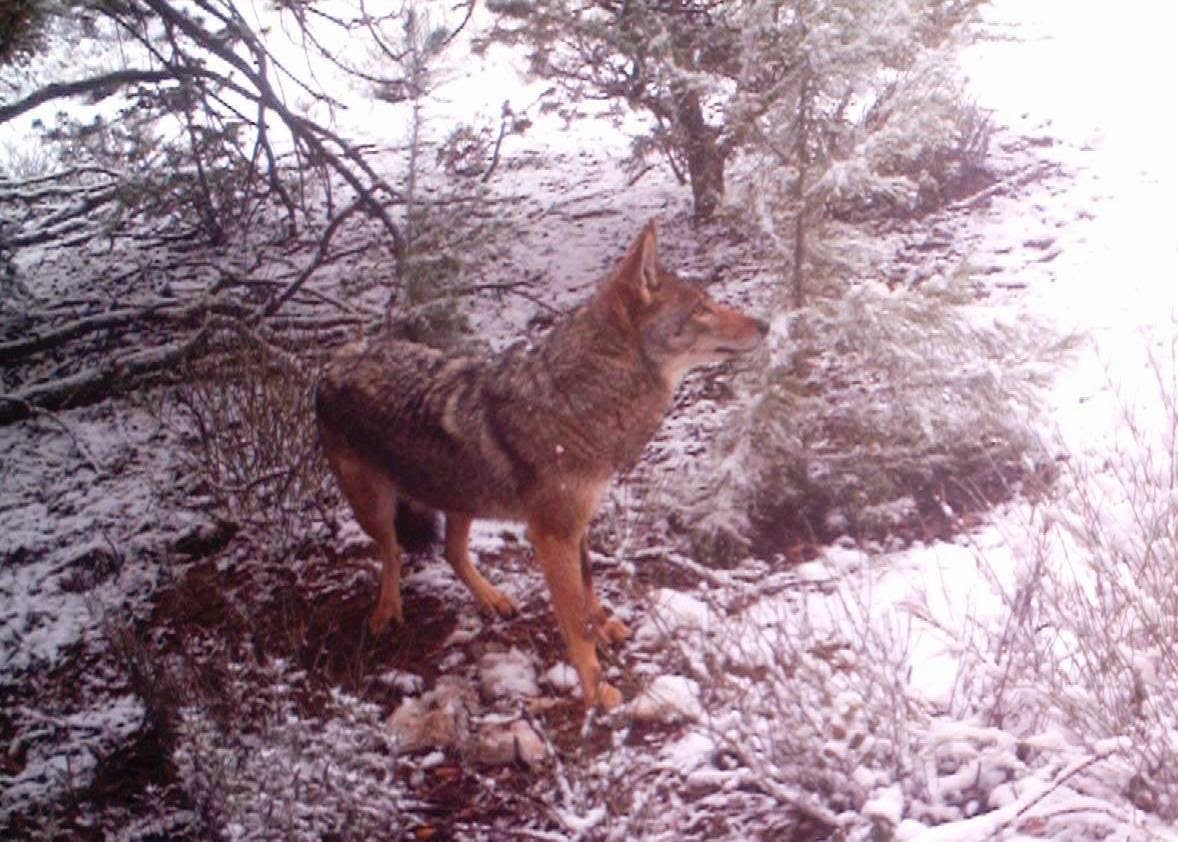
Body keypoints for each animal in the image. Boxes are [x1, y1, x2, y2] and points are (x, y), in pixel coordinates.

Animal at [315, 220, 766, 710]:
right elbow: (574, 620)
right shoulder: (553, 535)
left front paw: (605, 628)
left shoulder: (578, 526)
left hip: (463, 496)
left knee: (452, 551)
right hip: (376, 506)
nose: (764, 324)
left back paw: (491, 598)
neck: (576, 403)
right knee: (393, 550)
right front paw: (595, 687)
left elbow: (589, 591)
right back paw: (388, 609)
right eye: (702, 309)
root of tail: (335, 360)